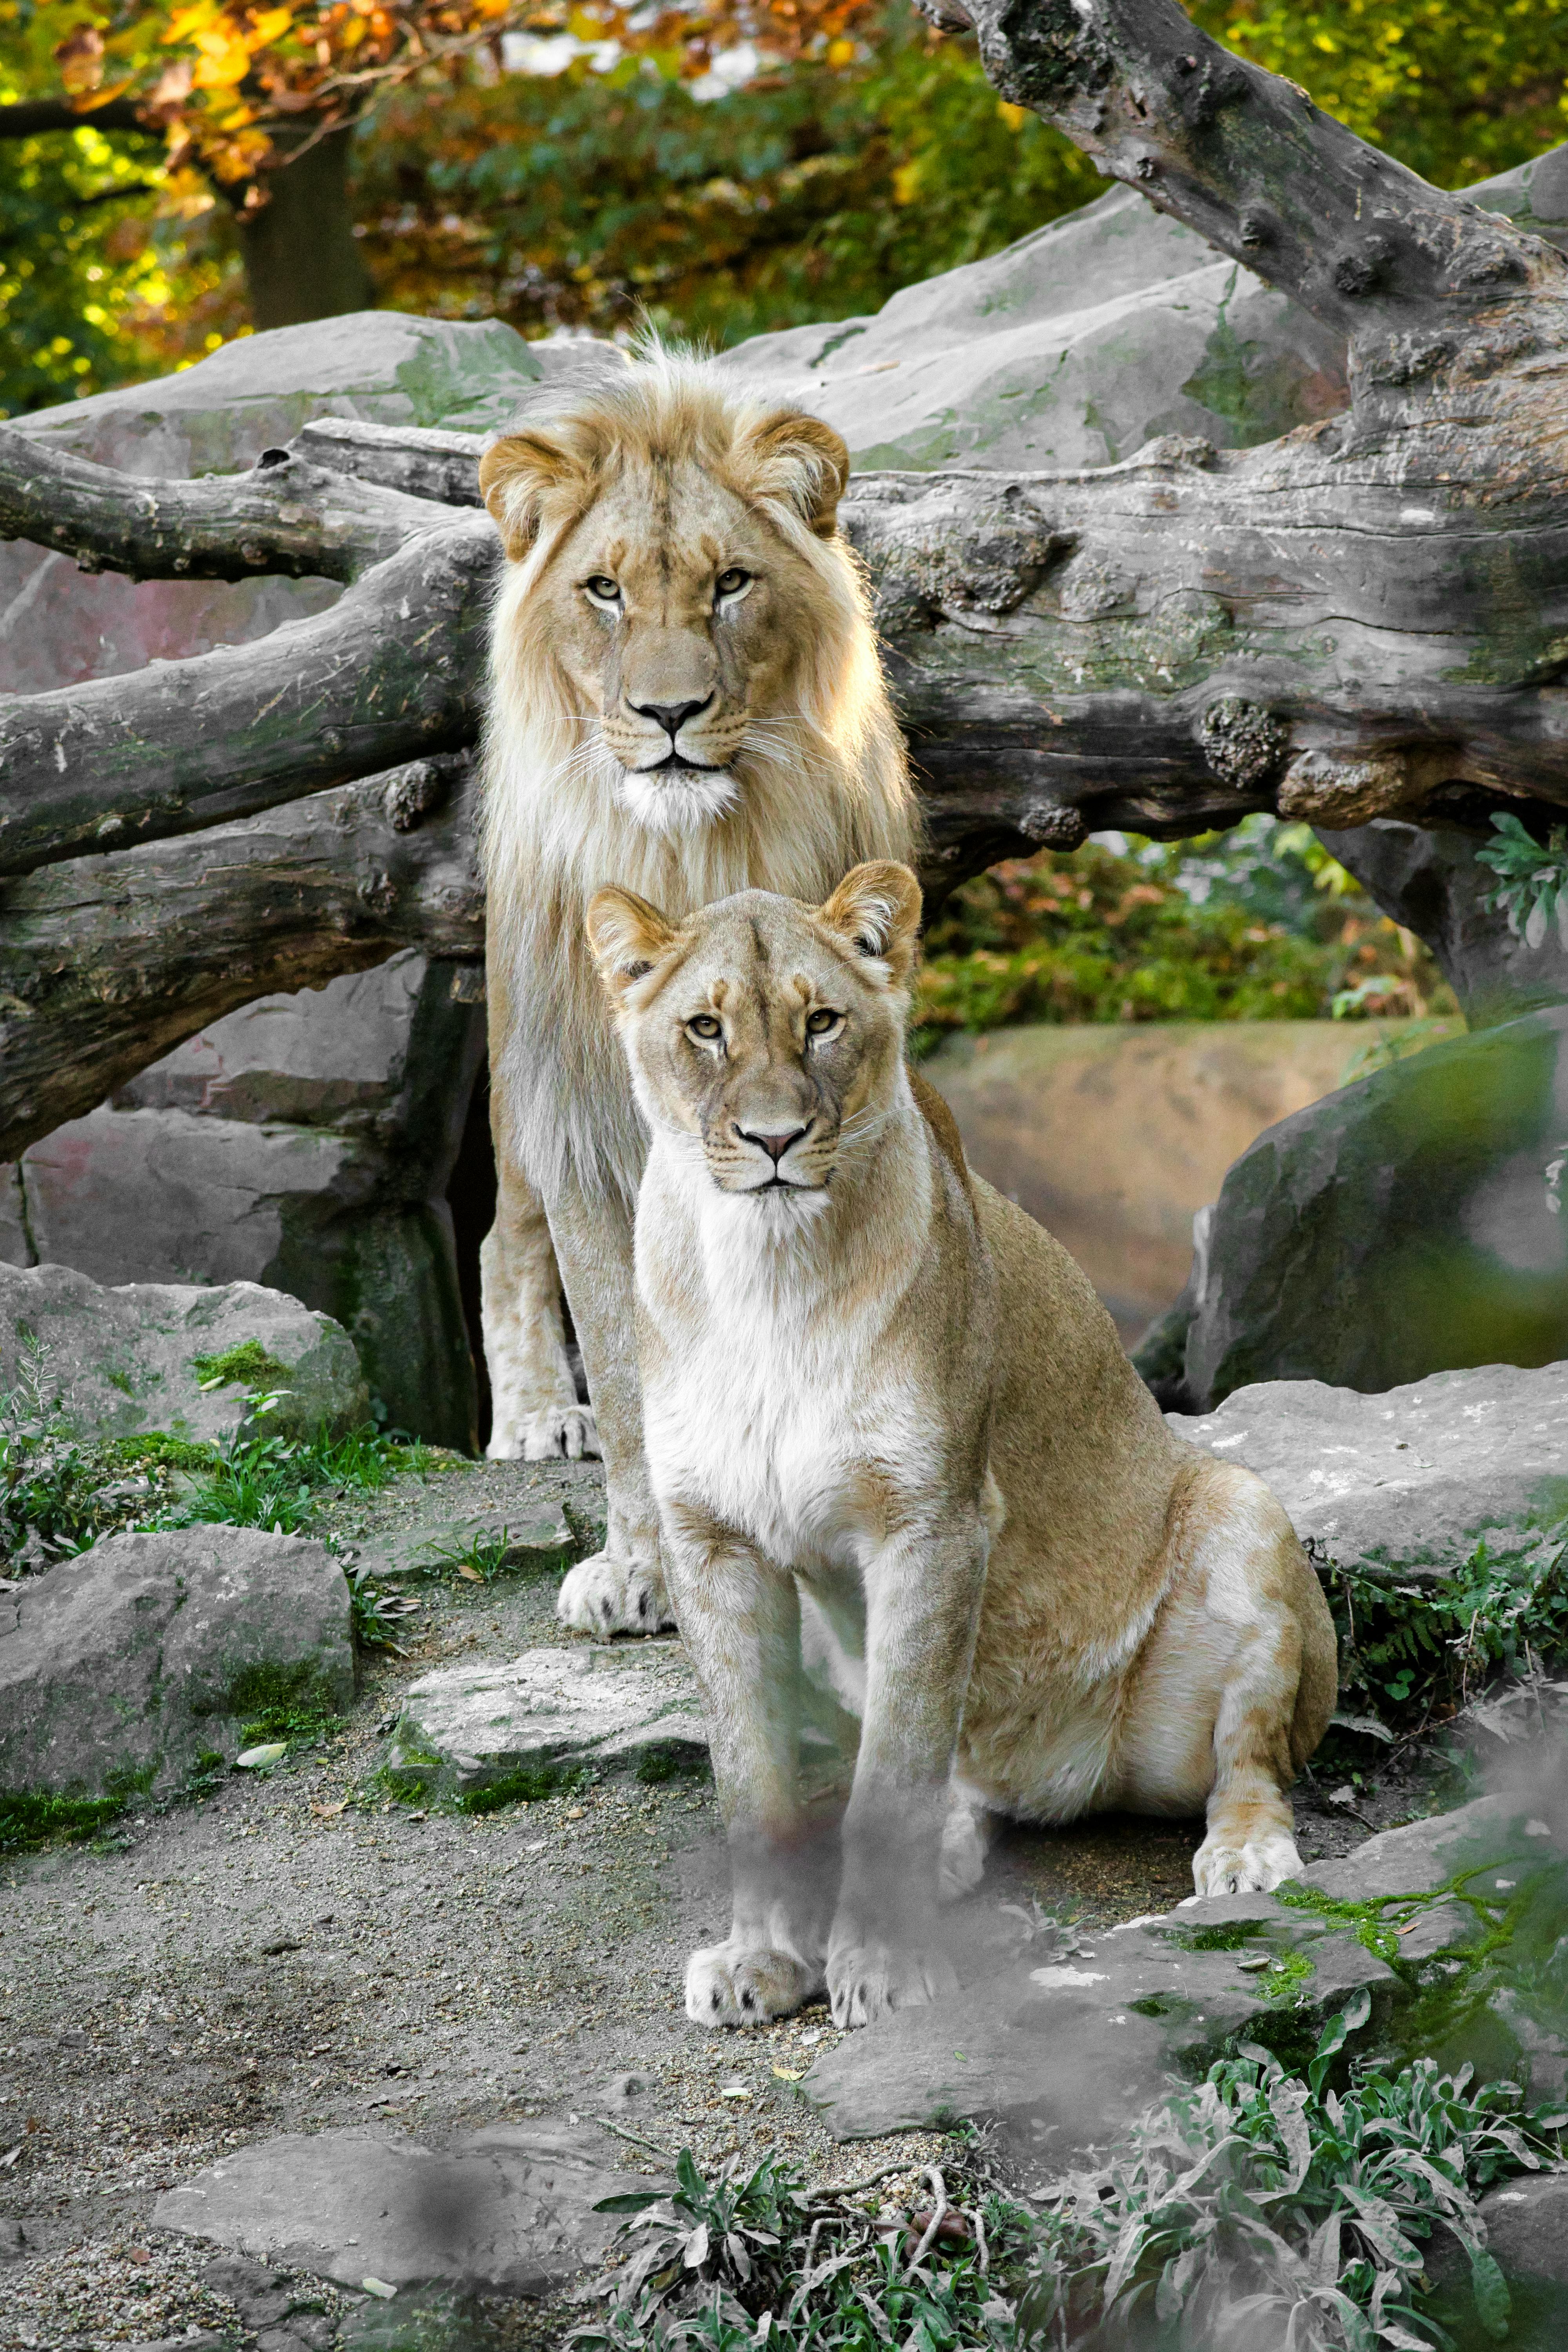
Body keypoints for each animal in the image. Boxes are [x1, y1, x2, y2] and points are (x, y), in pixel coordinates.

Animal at [476, 350, 915, 1632]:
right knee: (499, 1236)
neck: (693, 854)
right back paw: (535, 1416)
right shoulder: (581, 1131)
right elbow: (631, 1382)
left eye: (729, 583)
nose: (667, 714)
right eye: (604, 591)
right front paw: (640, 1568)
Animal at [584, 864, 1338, 2030]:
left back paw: (1244, 1857)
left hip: (1242, 1512)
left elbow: (892, 1775)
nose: (771, 1141)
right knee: (954, 1776)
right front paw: (762, 1959)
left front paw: (883, 1965)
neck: (764, 1274)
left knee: (1249, 1763)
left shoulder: (933, 1522)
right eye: (703, 1028)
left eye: (822, 1021)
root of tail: (1061, 1778)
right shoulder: (710, 1542)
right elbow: (752, 1780)